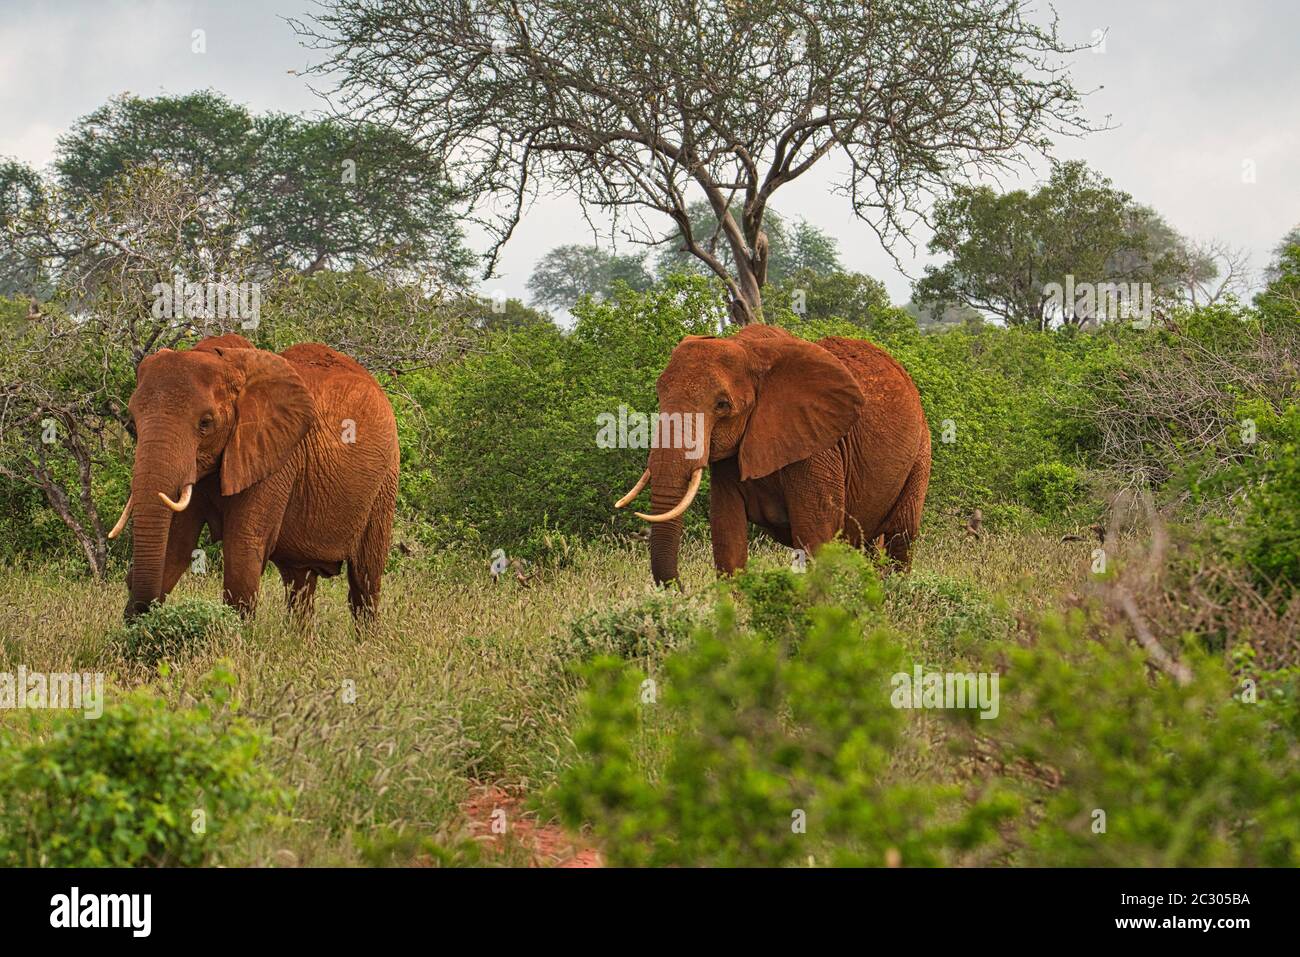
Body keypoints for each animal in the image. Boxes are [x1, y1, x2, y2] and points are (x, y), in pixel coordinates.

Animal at [108, 333, 399, 621]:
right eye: (133, 422)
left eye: (205, 423)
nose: (129, 584)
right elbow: (175, 548)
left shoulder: (275, 458)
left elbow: (242, 551)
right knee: (300, 582)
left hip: (385, 482)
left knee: (364, 582)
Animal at [615, 325, 930, 585]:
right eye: (659, 394)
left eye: (722, 405)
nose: (680, 589)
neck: (748, 350)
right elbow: (728, 537)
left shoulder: (817, 447)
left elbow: (816, 537)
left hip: (920, 452)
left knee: (901, 537)